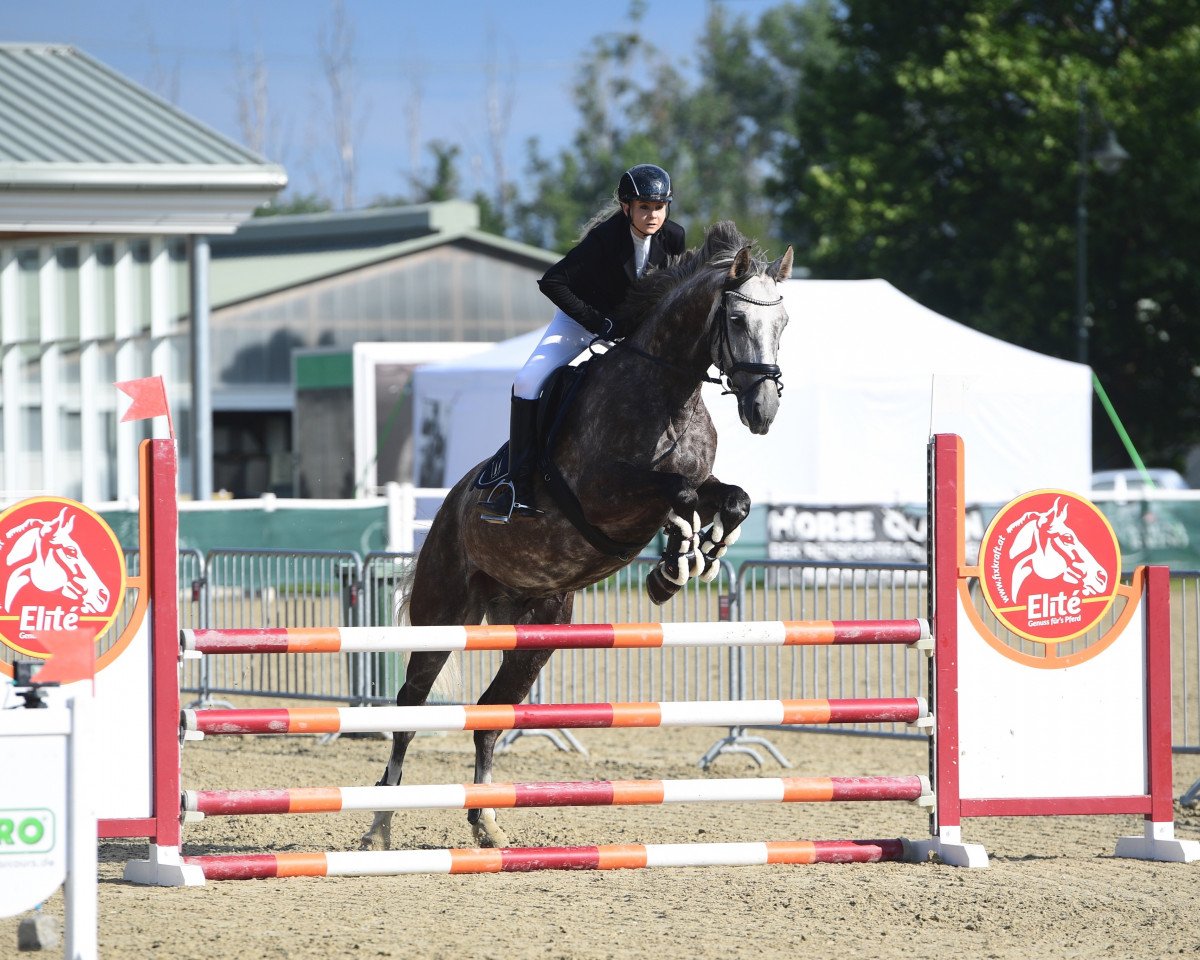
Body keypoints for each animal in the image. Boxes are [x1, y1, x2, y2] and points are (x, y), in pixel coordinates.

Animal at [361, 220, 793, 850]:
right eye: (736, 320)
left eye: (783, 323)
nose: (762, 411)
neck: (667, 390)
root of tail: (443, 515)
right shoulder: (606, 495)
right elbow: (680, 495)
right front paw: (676, 562)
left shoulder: (694, 483)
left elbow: (728, 498)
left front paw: (685, 563)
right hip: (442, 616)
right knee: (408, 709)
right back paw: (379, 825)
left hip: (540, 629)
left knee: (491, 713)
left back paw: (486, 822)